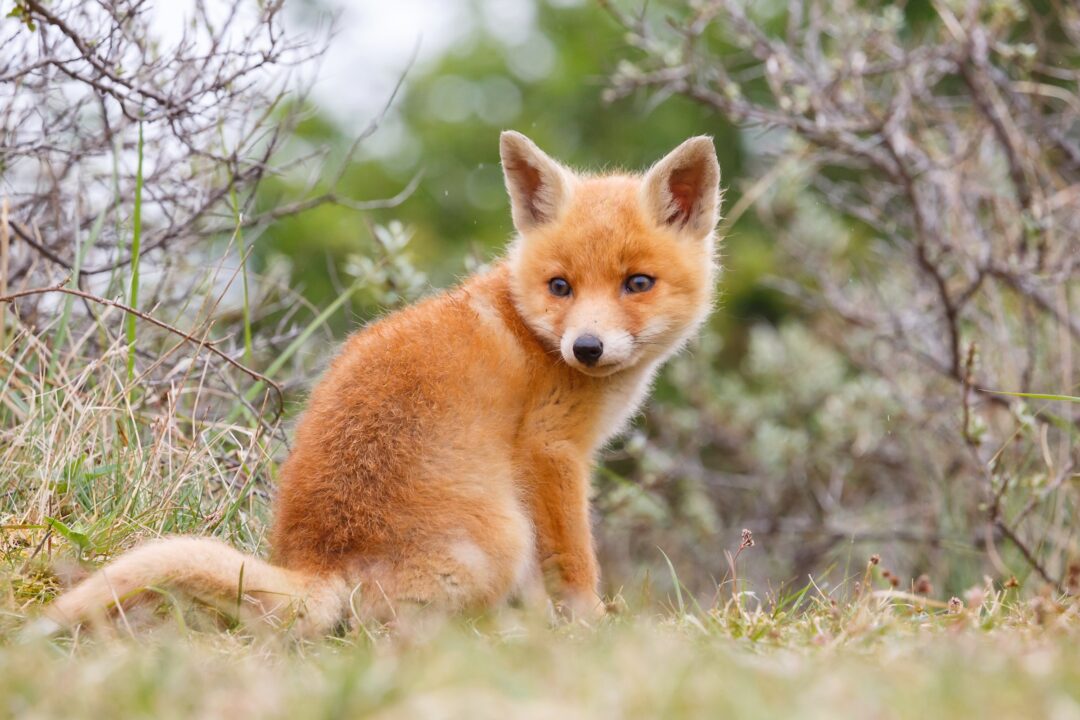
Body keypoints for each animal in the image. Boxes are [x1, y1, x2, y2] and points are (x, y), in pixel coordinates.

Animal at [30, 131, 721, 637]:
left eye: (637, 283)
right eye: (561, 287)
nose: (587, 347)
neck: (532, 333)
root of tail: (321, 562)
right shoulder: (551, 454)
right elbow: (575, 564)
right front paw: (593, 627)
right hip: (503, 535)